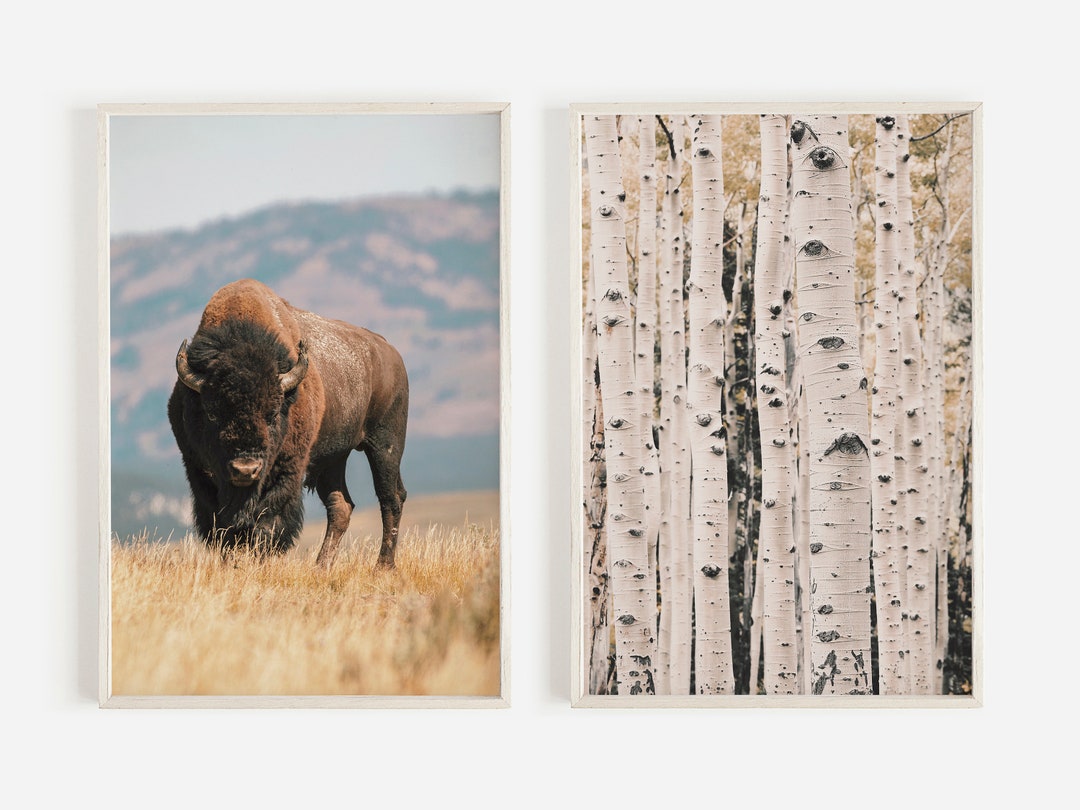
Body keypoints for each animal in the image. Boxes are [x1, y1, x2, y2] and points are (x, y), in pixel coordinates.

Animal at [167, 279, 409, 569]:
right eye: (212, 414)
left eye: (272, 414)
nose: (245, 469)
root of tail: (390, 352)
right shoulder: (198, 469)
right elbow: (220, 526)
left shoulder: (288, 470)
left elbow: (268, 521)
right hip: (333, 459)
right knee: (341, 506)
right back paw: (321, 566)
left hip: (385, 445)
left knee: (390, 498)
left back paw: (383, 566)